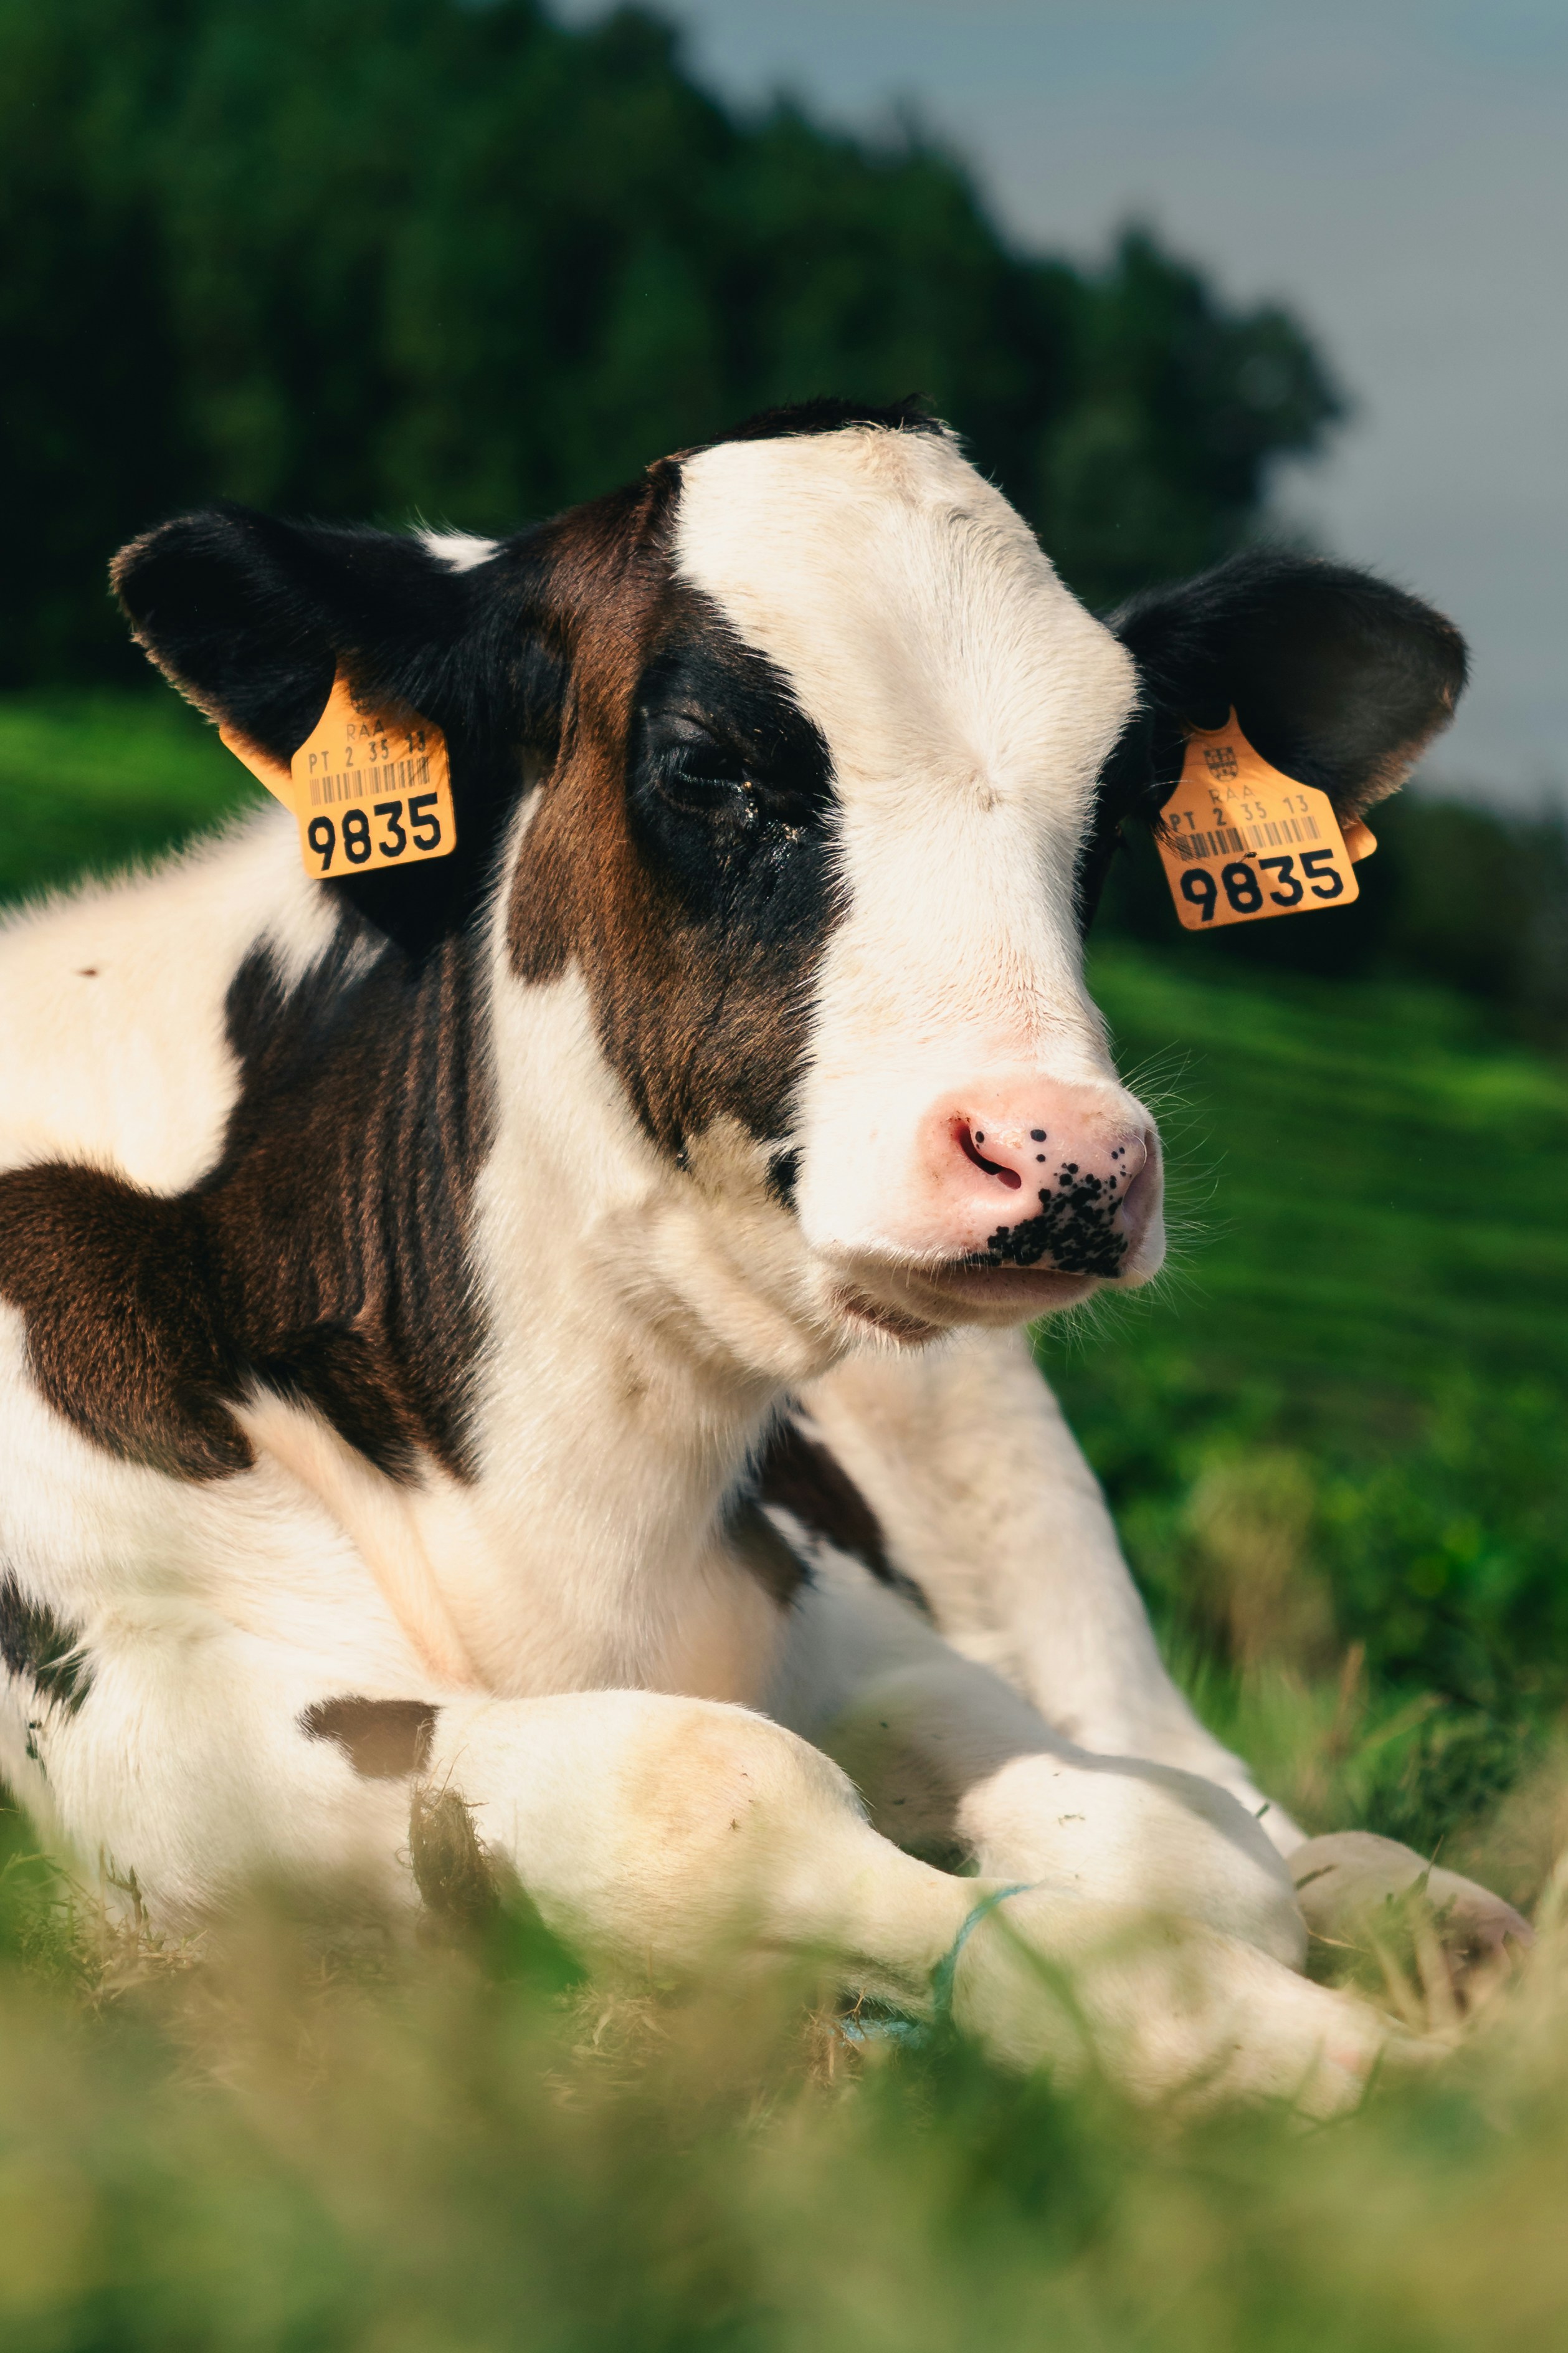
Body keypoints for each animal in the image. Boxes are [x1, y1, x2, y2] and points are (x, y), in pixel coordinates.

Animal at [0, 400, 1524, 2109]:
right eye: (703, 763)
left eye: (1126, 797)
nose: (1063, 1152)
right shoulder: (145, 1716)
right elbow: (695, 1784)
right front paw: (1280, 2045)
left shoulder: (850, 1616)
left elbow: (1161, 1831)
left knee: (1219, 1777)